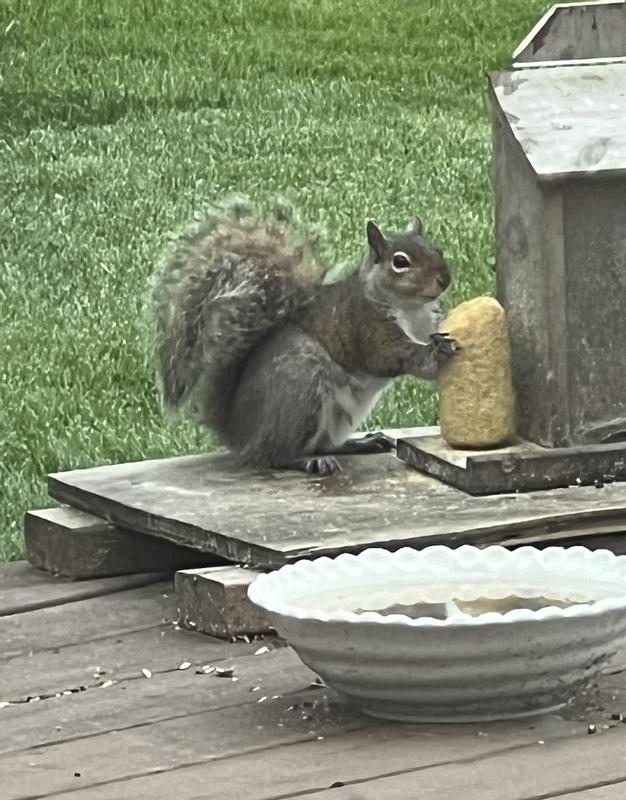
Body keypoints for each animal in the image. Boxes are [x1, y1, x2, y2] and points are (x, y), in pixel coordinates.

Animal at [152, 198, 457, 476]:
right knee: (276, 454)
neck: (409, 308)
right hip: (301, 388)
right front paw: (434, 353)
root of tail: (238, 432)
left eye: (437, 249)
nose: (444, 280)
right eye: (400, 262)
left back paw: (360, 443)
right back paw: (308, 461)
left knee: (322, 444)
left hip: (336, 417)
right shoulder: (364, 327)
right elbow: (390, 355)